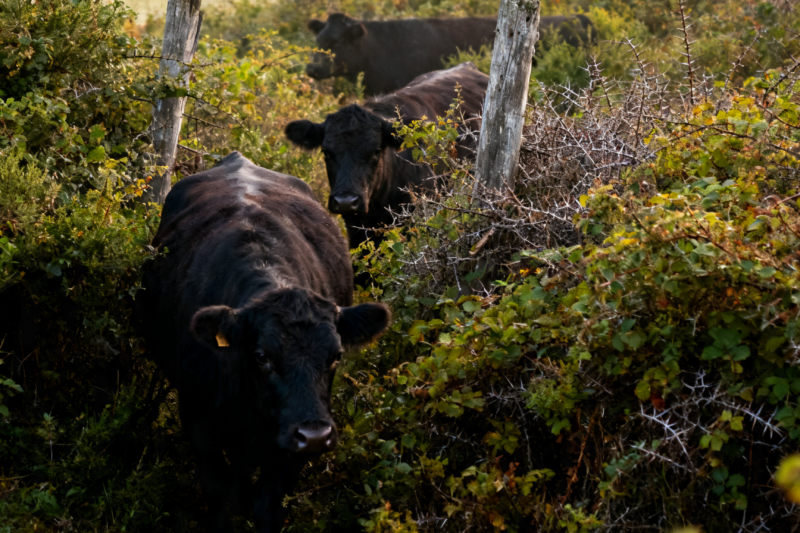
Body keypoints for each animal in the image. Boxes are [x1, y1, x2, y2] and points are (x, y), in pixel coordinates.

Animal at [137, 151, 391, 532]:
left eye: (336, 356)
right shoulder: (198, 419)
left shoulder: (290, 442)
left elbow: (268, 504)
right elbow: (221, 497)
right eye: (261, 355)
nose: (314, 435)